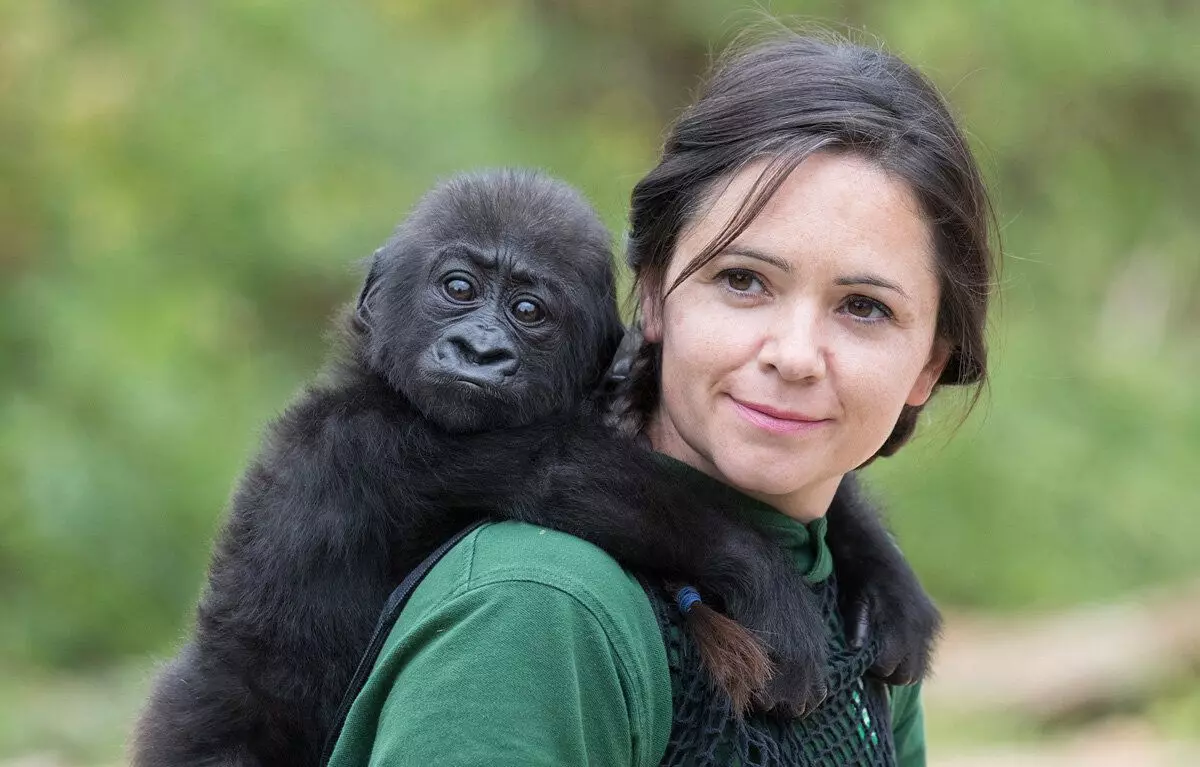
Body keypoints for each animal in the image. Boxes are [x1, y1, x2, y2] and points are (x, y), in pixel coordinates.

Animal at [131, 169, 936, 767]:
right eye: (457, 288)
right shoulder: (384, 441)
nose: (479, 350)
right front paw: (764, 578)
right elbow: (564, 475)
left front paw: (886, 579)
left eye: (528, 311)